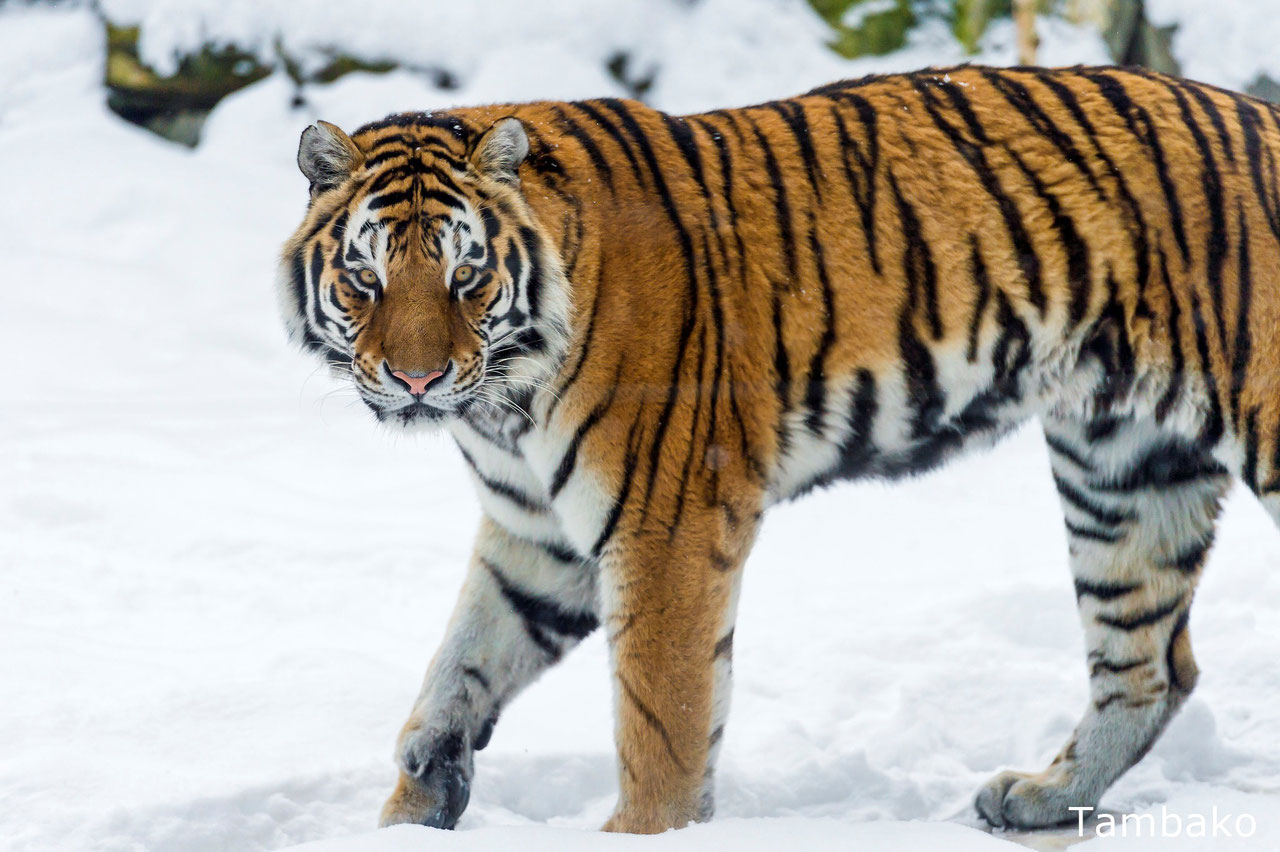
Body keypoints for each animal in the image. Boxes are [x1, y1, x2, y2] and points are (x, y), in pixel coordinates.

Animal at [278, 64, 1280, 833]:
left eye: (467, 273)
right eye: (365, 276)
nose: (415, 379)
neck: (502, 401)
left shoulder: (663, 527)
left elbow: (663, 719)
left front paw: (643, 832)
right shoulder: (536, 536)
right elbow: (461, 665)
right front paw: (420, 791)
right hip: (1123, 466)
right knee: (1152, 665)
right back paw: (1043, 797)